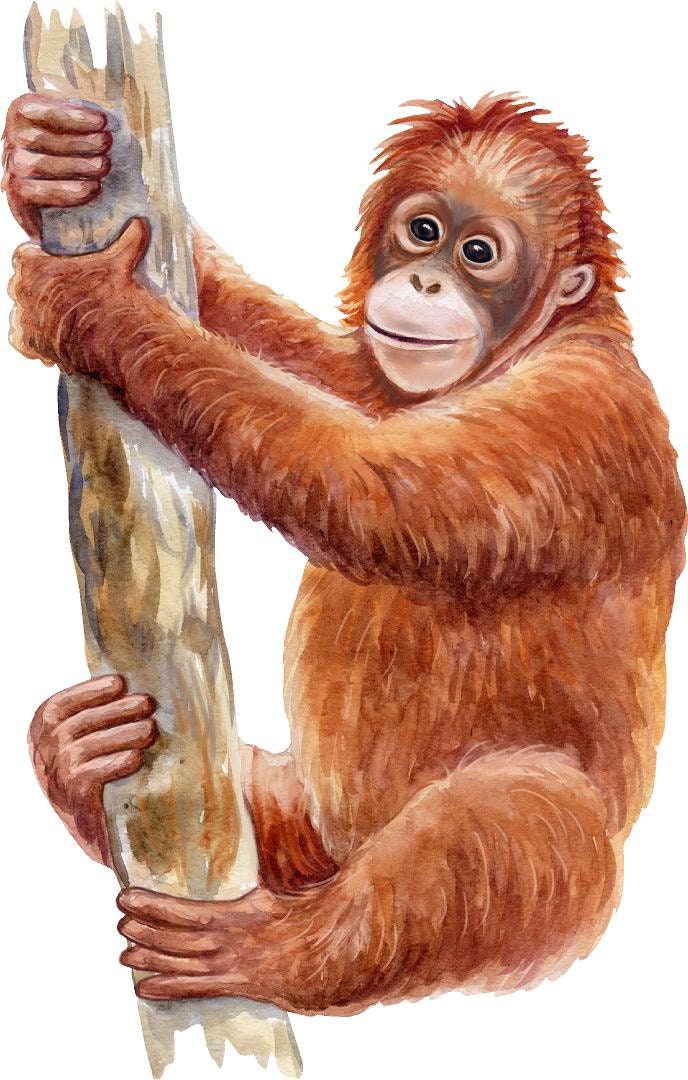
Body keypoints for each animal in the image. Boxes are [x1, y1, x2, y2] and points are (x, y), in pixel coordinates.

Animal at [4, 91, 685, 1014]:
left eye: (479, 253)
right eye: (422, 231)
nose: (426, 280)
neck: (525, 349)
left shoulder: (568, 421)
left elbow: (357, 484)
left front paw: (94, 308)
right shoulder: (381, 378)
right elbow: (315, 363)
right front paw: (42, 160)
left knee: (522, 812)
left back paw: (271, 955)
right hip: (303, 829)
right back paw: (80, 751)